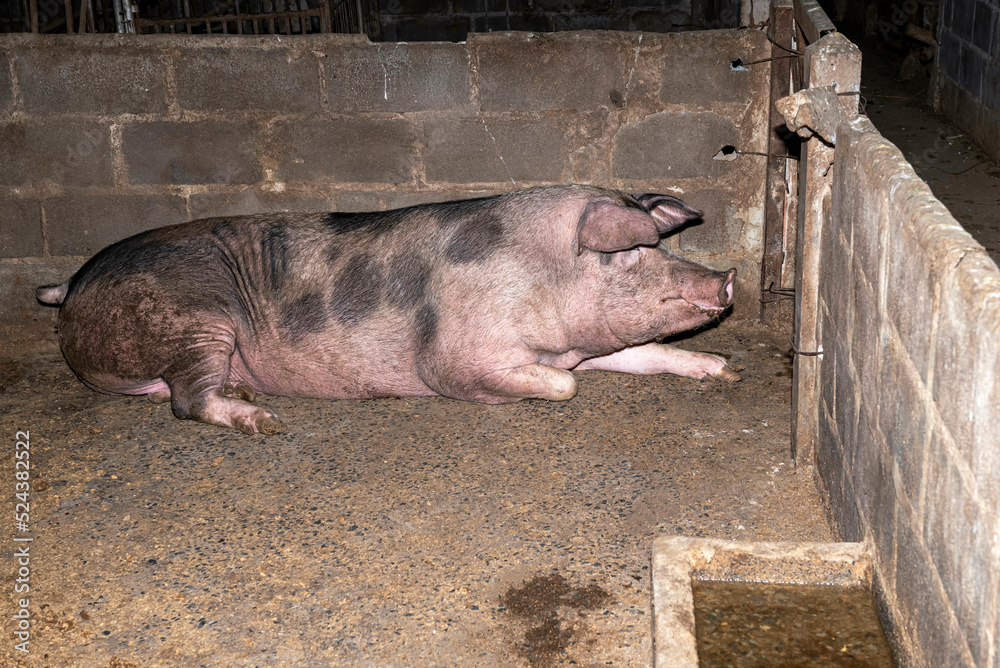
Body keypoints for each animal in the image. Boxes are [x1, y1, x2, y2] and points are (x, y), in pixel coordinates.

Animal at [36, 185, 738, 435]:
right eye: (636, 251)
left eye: (665, 243)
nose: (727, 277)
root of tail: (69, 286)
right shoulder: (456, 357)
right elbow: (565, 387)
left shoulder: (587, 347)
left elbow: (646, 355)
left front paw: (724, 369)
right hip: (192, 316)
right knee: (187, 400)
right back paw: (263, 420)